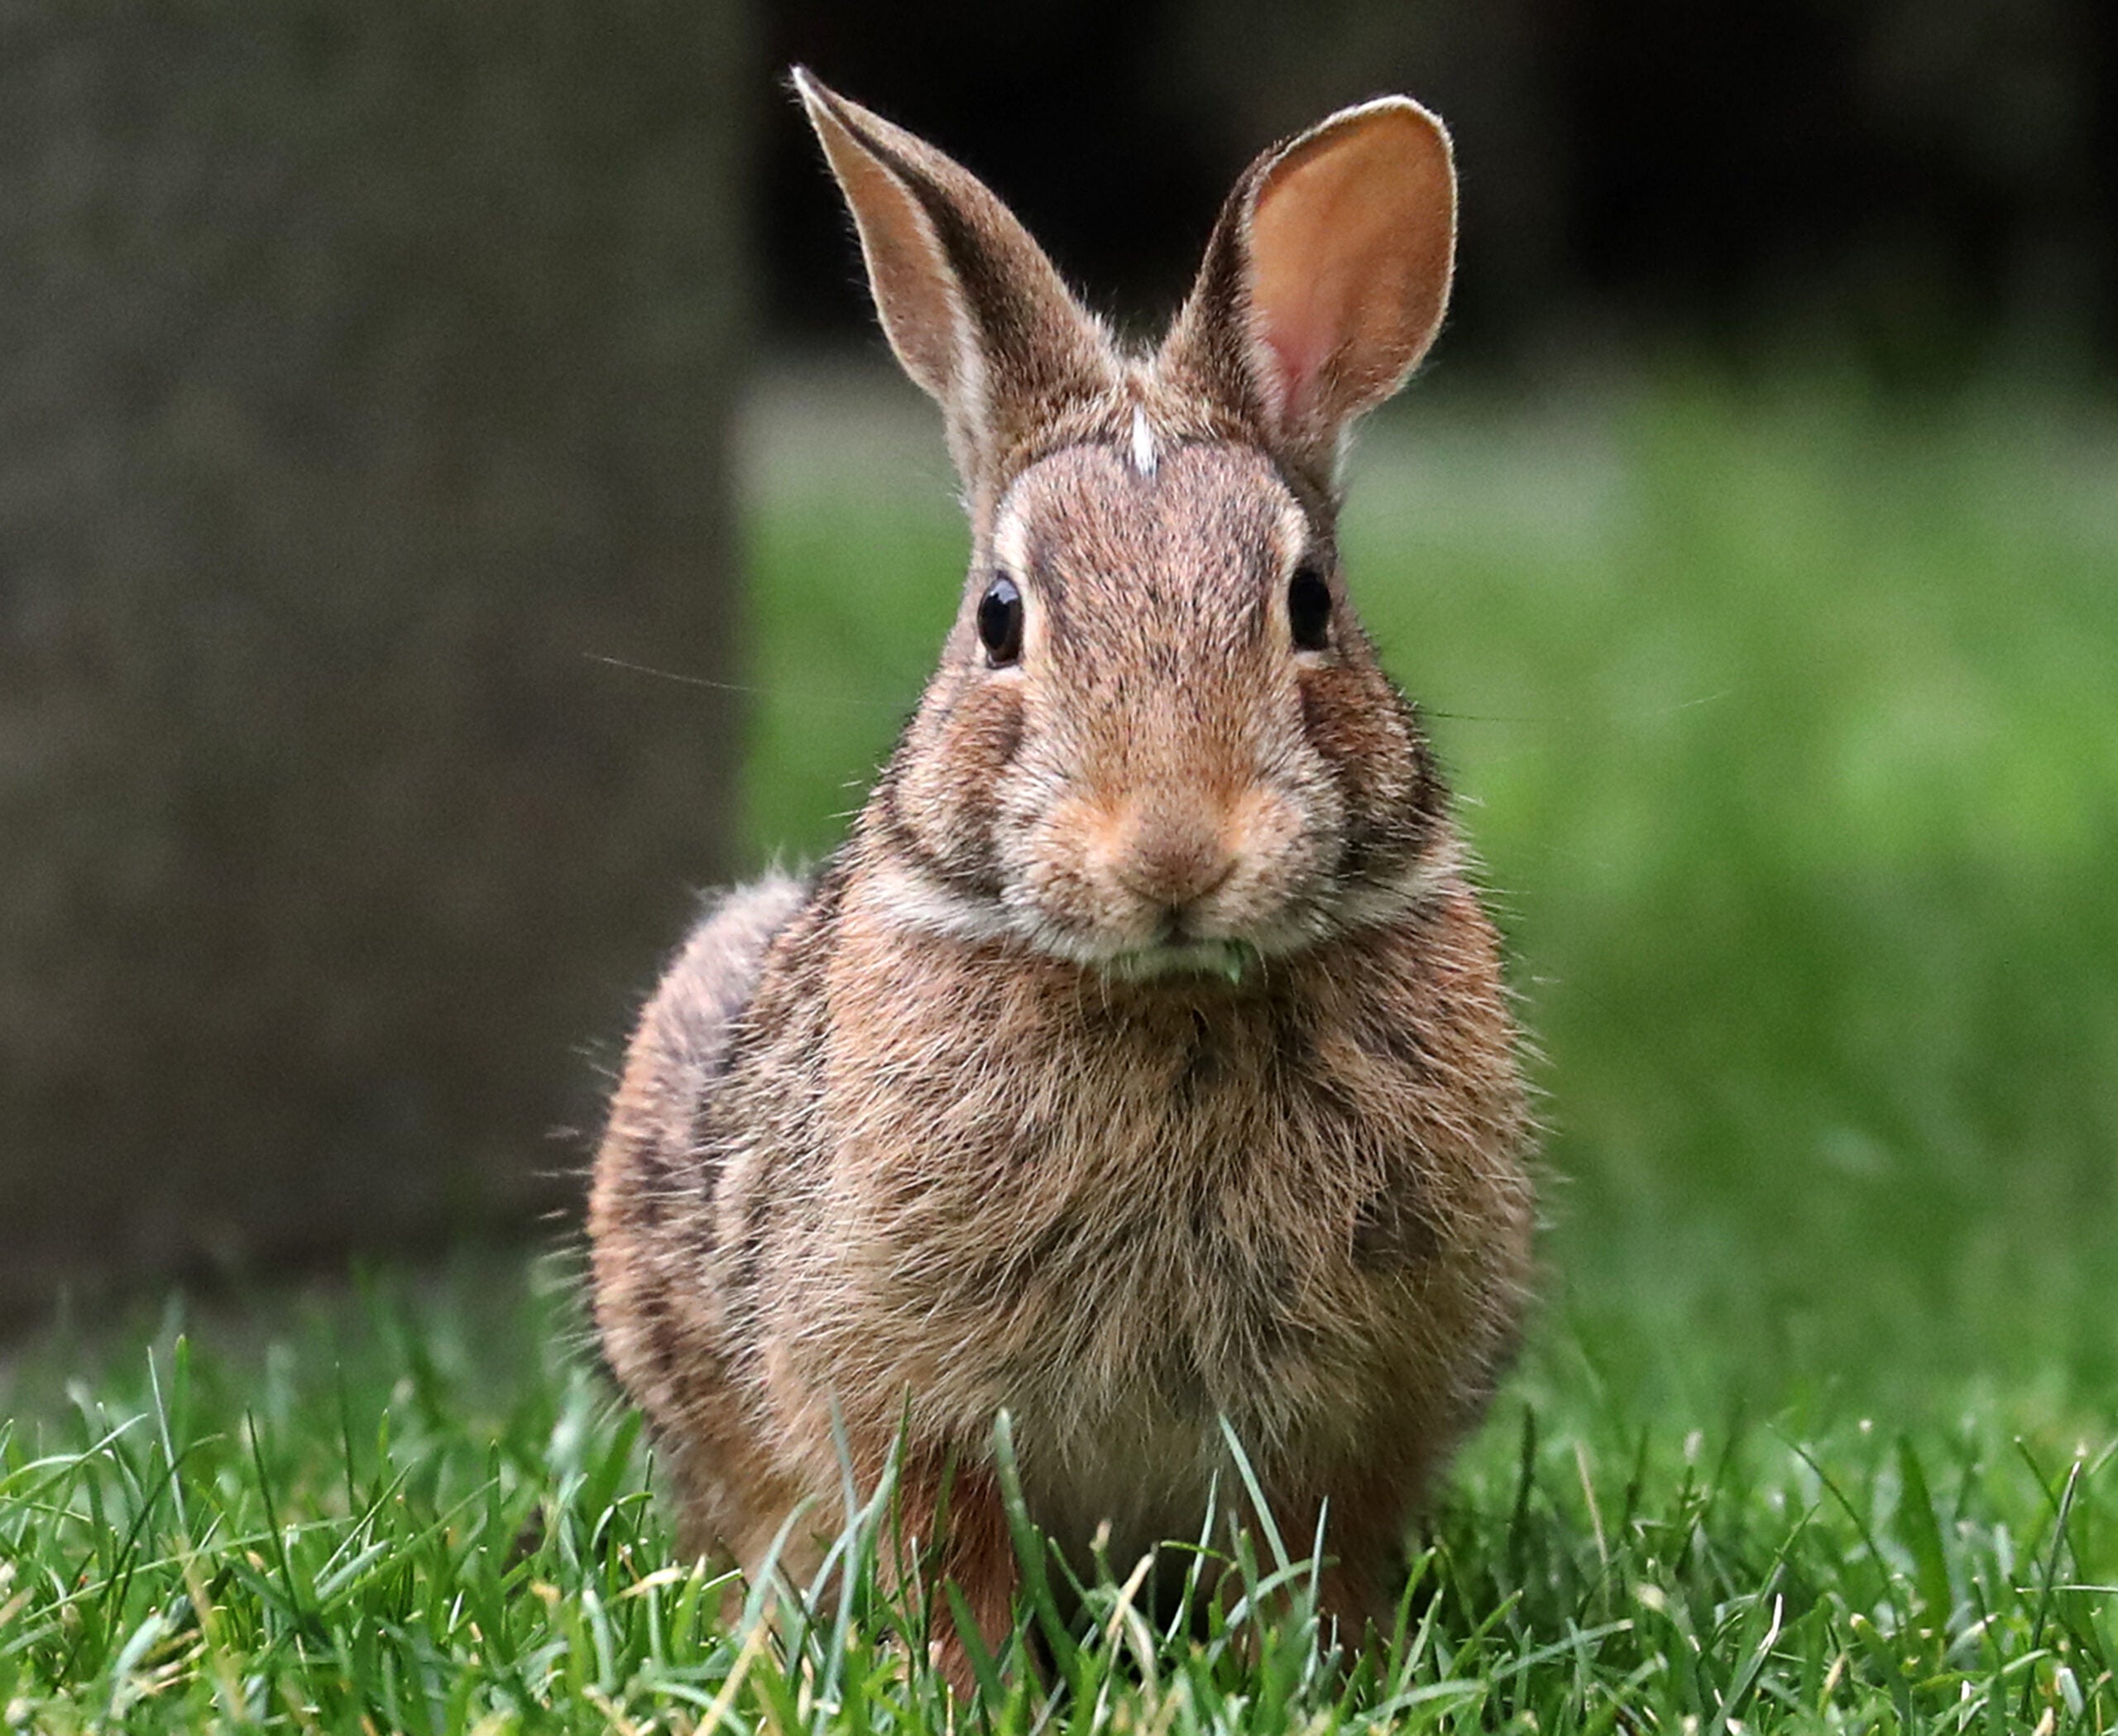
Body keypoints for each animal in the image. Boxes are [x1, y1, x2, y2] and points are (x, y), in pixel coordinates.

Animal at [589, 69, 1536, 1685]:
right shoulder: (907, 1401)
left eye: (1310, 606)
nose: (1172, 848)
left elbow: (1306, 1563)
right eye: (1000, 615)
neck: (1168, 996)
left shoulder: (1341, 1429)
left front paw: (1311, 1680)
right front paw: (966, 1687)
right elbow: (943, 1555)